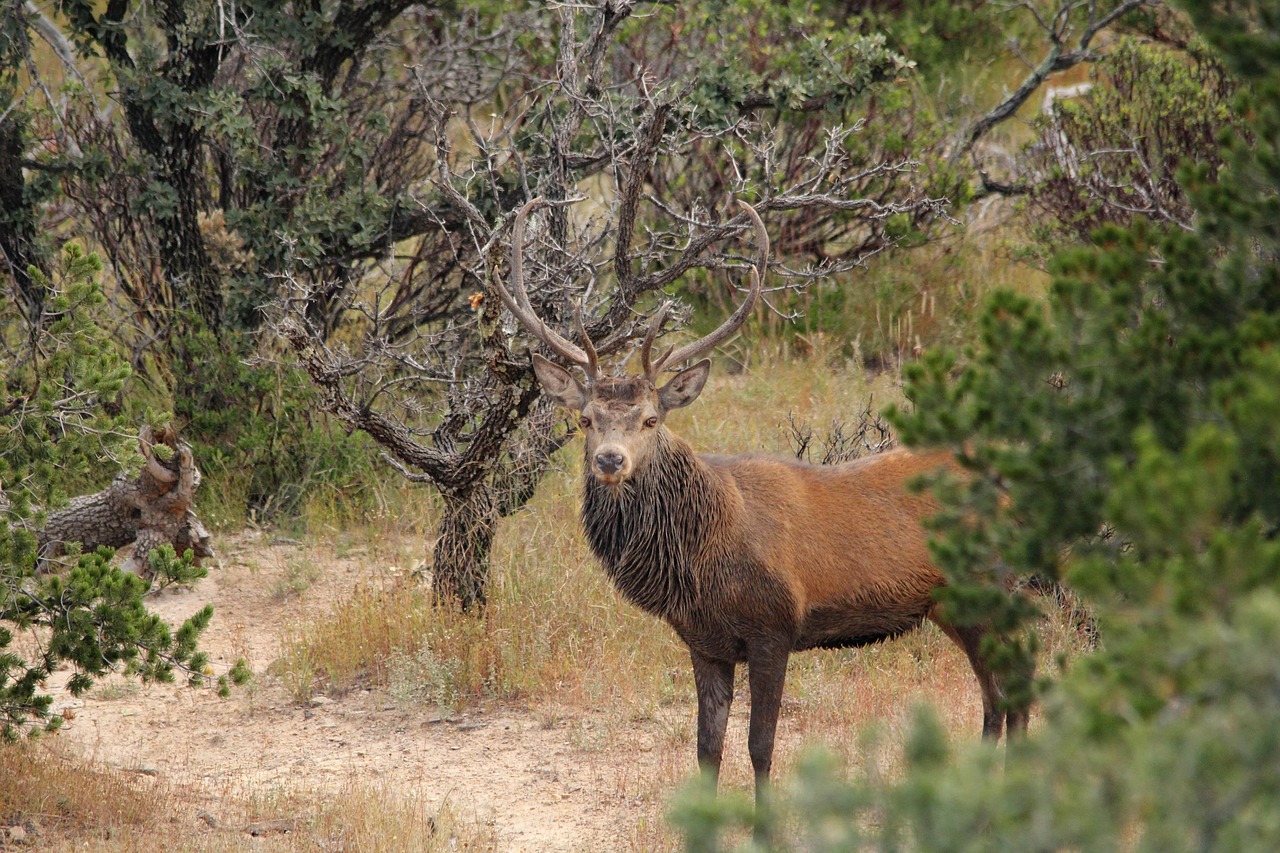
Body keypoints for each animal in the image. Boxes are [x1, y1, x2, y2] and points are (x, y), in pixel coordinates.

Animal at [497, 197, 1030, 825]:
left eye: (651, 419)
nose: (609, 459)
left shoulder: (775, 625)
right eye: (584, 419)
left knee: (1017, 685)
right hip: (954, 605)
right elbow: (707, 746)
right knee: (994, 693)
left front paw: (765, 825)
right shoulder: (704, 641)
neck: (705, 552)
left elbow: (760, 746)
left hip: (994, 586)